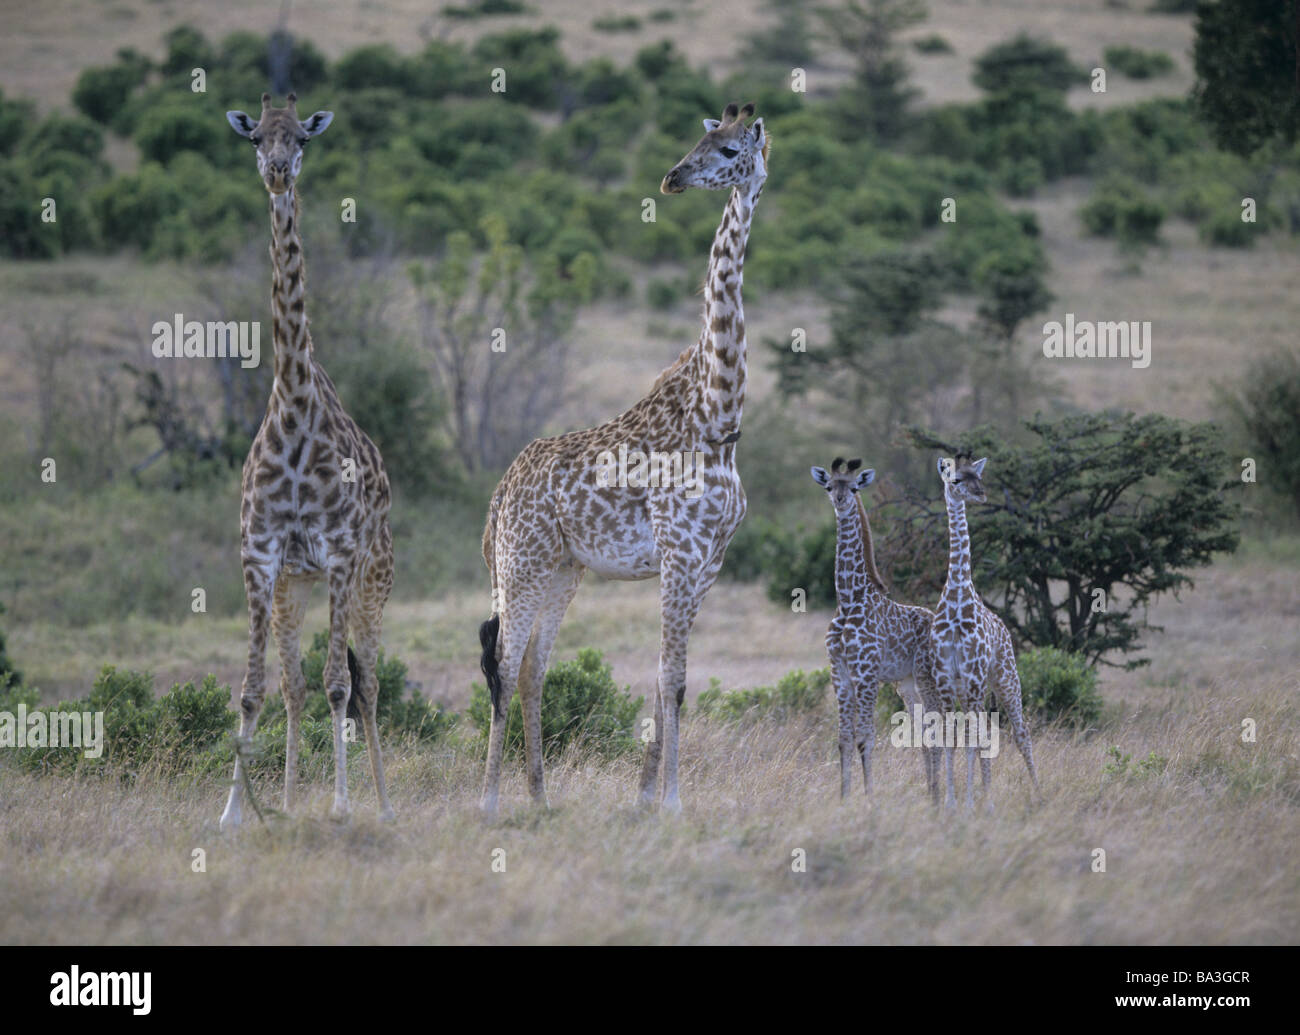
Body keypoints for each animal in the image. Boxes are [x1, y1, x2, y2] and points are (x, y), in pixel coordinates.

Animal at [476, 102, 769, 815]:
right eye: (700, 139)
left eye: (729, 150)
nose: (672, 178)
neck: (717, 415)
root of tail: (498, 496)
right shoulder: (680, 553)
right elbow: (674, 680)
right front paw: (671, 803)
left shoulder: (708, 561)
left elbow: (668, 678)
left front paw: (645, 799)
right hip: (521, 564)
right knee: (504, 662)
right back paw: (490, 801)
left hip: (563, 569)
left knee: (532, 670)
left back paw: (541, 798)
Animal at [811, 458, 941, 802]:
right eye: (829, 486)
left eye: (854, 487)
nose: (840, 500)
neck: (849, 599)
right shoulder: (840, 673)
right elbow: (843, 738)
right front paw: (844, 798)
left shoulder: (866, 674)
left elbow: (865, 737)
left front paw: (869, 798)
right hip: (906, 684)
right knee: (924, 730)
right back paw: (931, 793)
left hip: (928, 678)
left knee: (938, 728)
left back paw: (939, 794)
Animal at [930, 454, 1040, 811]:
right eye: (955, 480)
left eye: (977, 476)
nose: (981, 494)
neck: (957, 598)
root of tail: (1004, 628)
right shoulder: (946, 681)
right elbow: (950, 739)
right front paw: (951, 803)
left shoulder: (974, 677)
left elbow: (972, 740)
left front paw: (970, 803)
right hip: (977, 688)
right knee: (986, 732)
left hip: (1004, 676)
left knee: (1020, 731)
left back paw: (1036, 792)